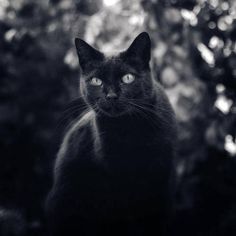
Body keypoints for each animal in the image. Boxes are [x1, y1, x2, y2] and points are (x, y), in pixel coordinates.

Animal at [46, 32, 177, 235]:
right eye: (96, 81)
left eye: (128, 78)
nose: (111, 96)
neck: (129, 130)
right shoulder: (115, 187)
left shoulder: (160, 181)